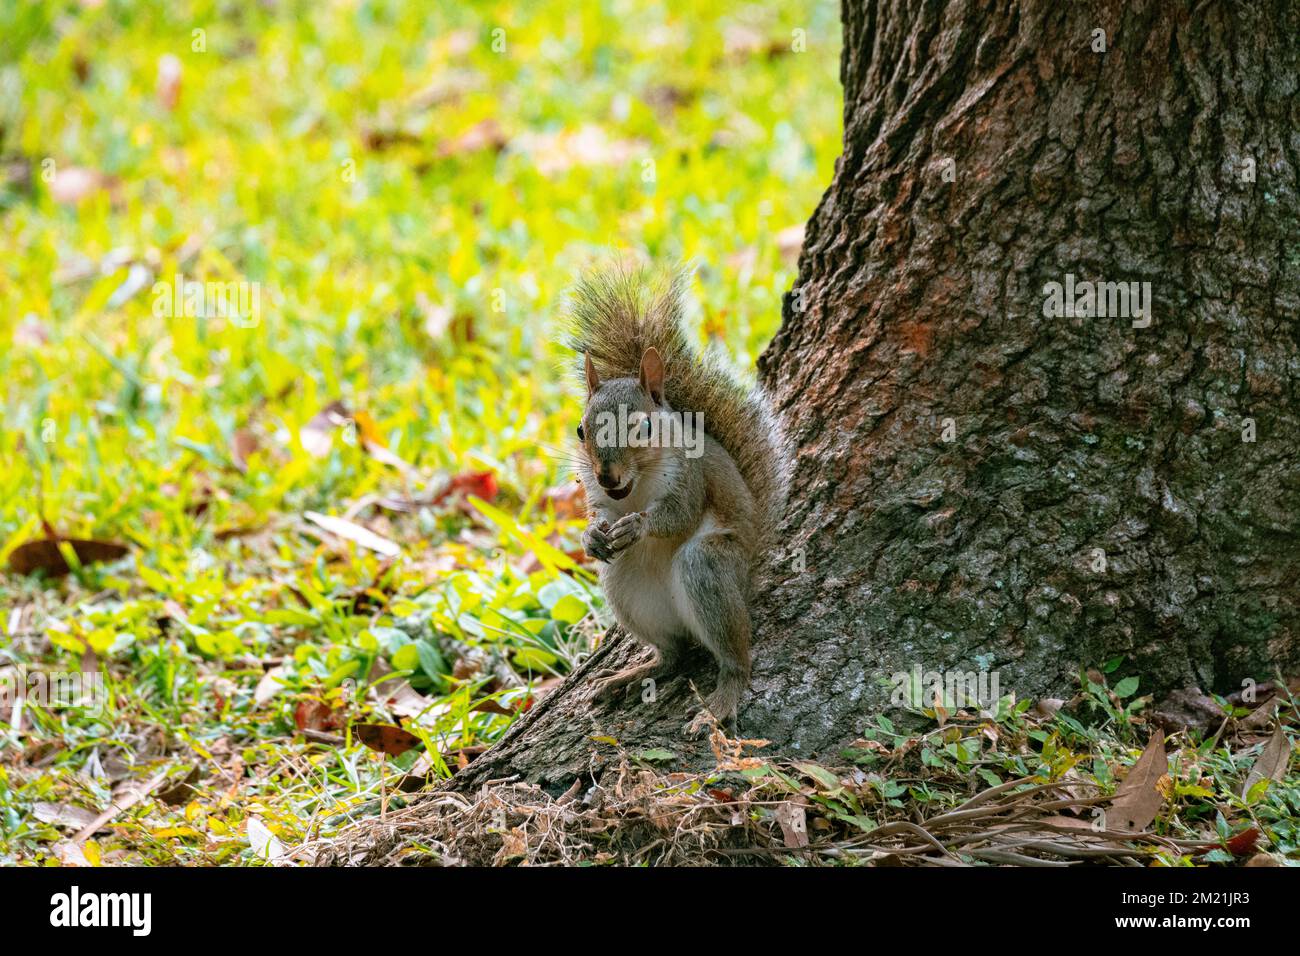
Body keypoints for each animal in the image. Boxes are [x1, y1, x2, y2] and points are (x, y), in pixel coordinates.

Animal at [564, 266, 787, 732]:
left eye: (644, 427)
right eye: (580, 430)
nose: (607, 476)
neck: (636, 486)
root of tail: (747, 576)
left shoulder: (691, 477)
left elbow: (680, 515)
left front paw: (640, 525)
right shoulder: (599, 496)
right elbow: (597, 512)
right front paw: (591, 536)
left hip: (710, 566)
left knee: (736, 658)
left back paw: (722, 700)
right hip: (626, 588)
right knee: (672, 654)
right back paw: (633, 673)